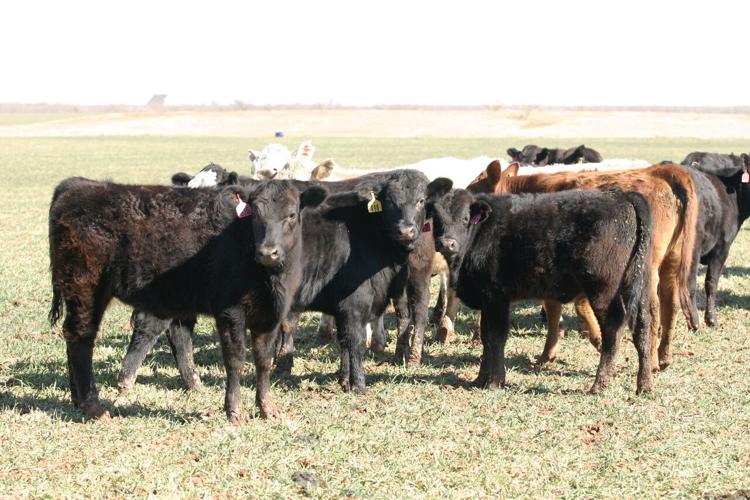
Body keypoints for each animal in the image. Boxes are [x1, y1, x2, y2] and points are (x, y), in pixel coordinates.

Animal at [48, 177, 327, 421]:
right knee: (81, 338)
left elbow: (263, 360)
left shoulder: (268, 317)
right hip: (85, 287)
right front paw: (234, 411)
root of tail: (78, 185)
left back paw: (77, 399)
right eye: (255, 214)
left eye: (291, 215)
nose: (268, 252)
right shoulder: (230, 311)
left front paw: (267, 408)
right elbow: (235, 359)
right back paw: (92, 406)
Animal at [426, 178, 655, 394]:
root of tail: (621, 196)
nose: (447, 243)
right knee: (642, 326)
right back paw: (644, 385)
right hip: (638, 285)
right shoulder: (488, 300)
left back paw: (599, 384)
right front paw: (480, 379)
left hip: (603, 290)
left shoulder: (495, 297)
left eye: (465, 218)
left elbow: (495, 337)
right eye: (437, 219)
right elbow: (486, 338)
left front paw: (494, 381)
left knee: (613, 328)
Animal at [466, 160, 699, 371]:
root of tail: (661, 171)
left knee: (651, 309)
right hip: (671, 261)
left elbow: (560, 309)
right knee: (670, 304)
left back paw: (651, 362)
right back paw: (663, 357)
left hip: (645, 267)